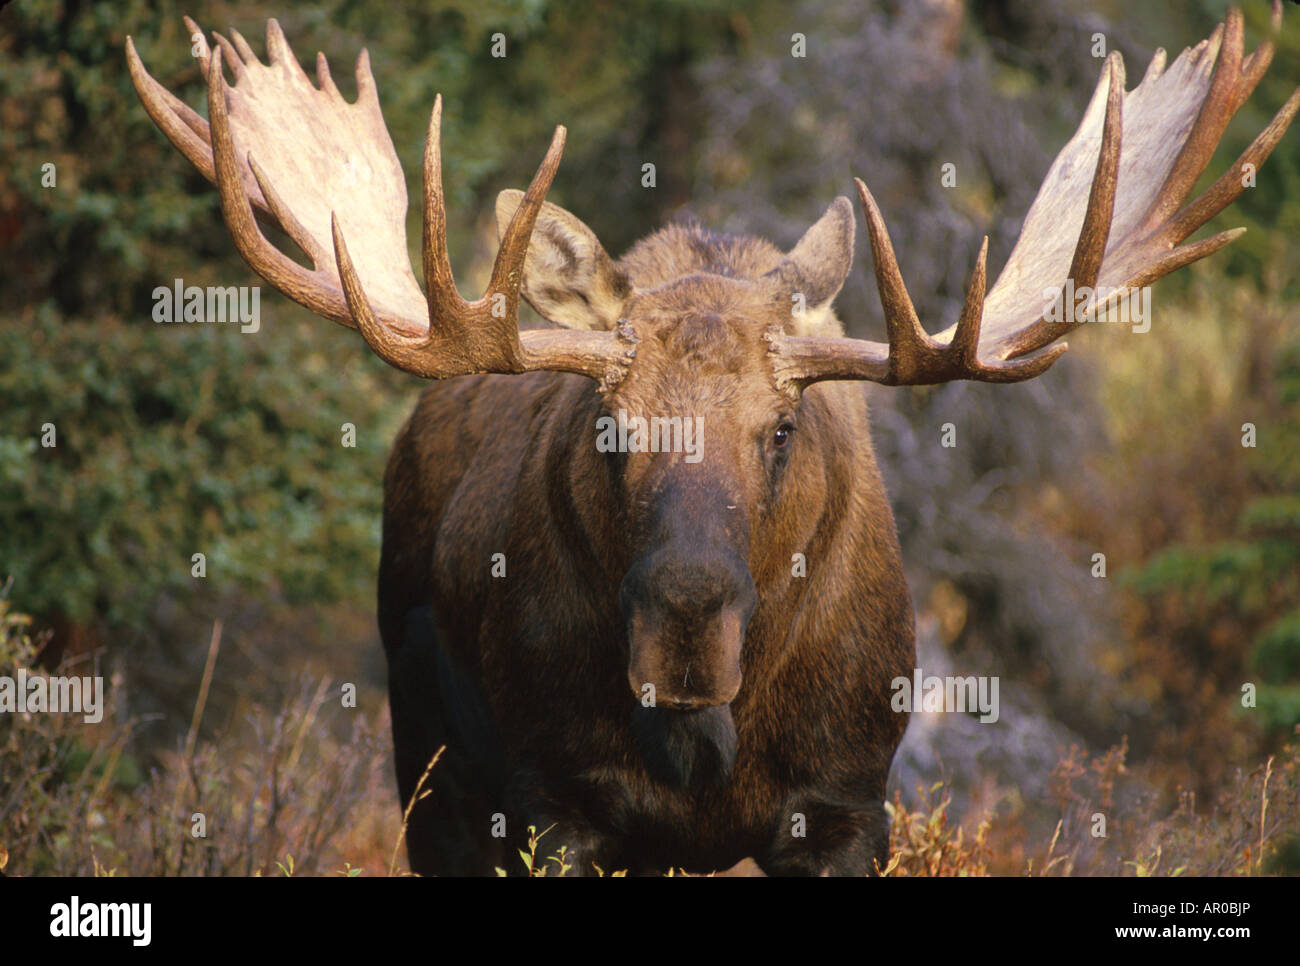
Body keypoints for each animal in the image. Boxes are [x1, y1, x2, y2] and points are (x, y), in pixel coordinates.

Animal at [126, 6, 1297, 875]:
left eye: (780, 428)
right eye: (611, 423)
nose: (684, 626)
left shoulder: (846, 807)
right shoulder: (553, 806)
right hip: (426, 762)